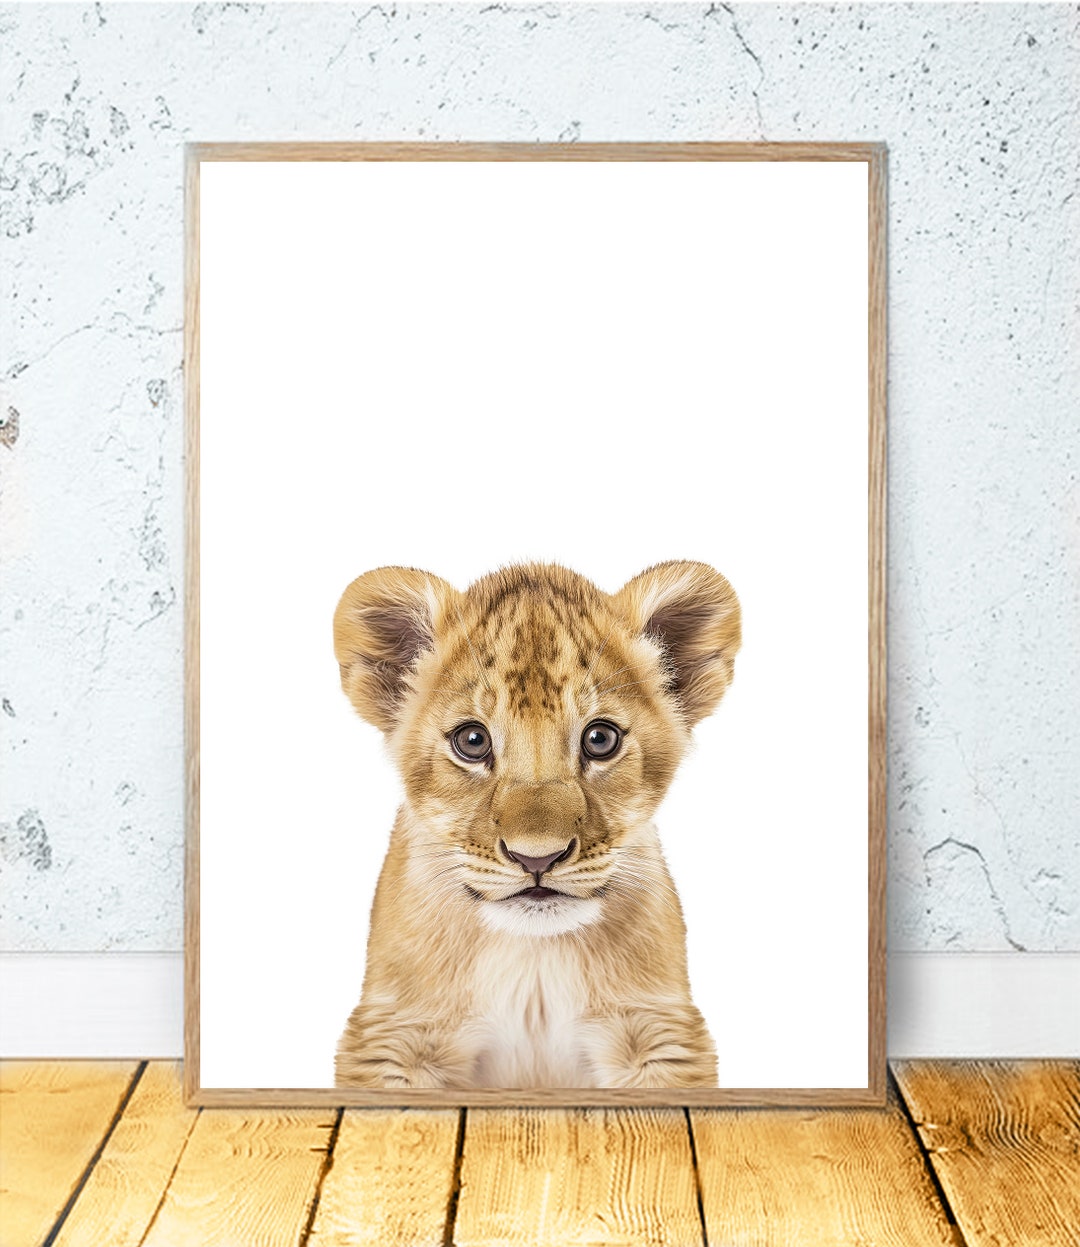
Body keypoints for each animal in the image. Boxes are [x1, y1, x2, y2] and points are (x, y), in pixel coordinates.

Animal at [332, 560, 741, 1089]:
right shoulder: (395, 1033)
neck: (534, 960)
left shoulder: (658, 1031)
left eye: (600, 738)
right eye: (472, 741)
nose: (537, 858)